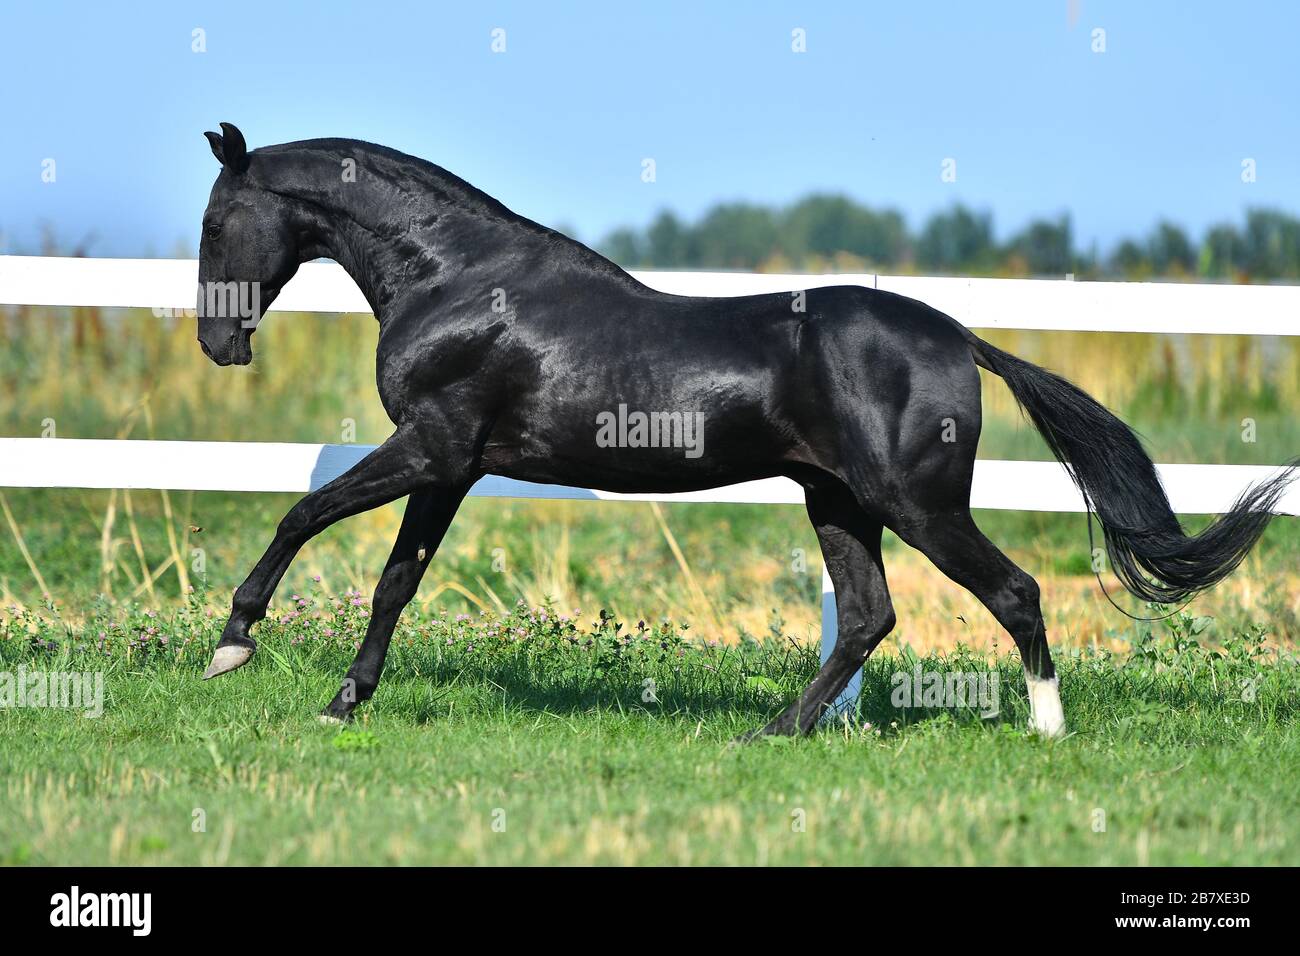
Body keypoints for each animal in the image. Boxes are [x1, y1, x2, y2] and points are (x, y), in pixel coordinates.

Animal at [195, 122, 1295, 739]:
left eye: (213, 223)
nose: (219, 344)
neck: (458, 281)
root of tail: (957, 336)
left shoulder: (431, 446)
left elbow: (304, 518)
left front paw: (237, 647)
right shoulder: (451, 467)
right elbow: (396, 579)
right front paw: (339, 700)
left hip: (916, 502)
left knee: (1013, 591)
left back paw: (1047, 730)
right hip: (839, 500)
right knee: (867, 618)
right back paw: (775, 731)